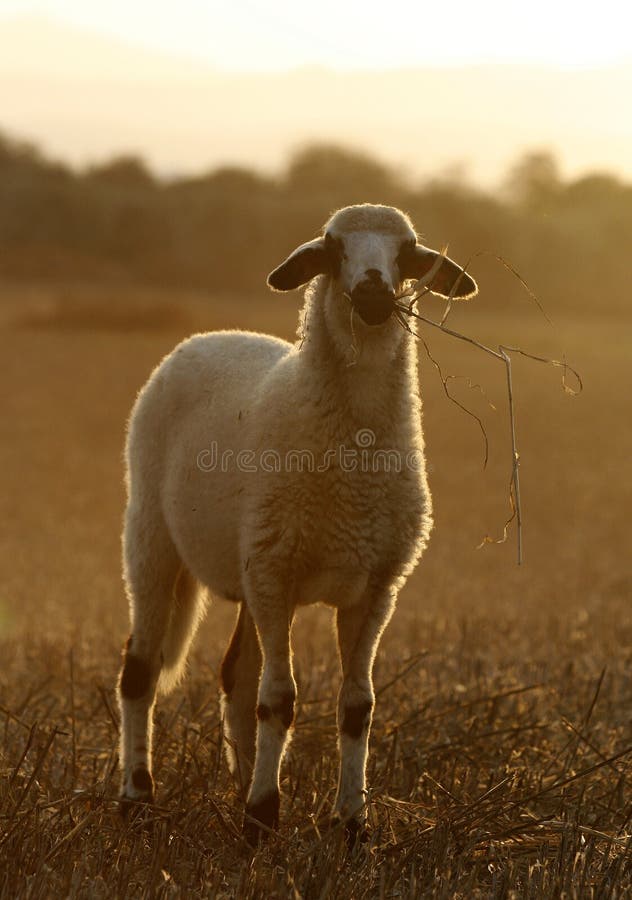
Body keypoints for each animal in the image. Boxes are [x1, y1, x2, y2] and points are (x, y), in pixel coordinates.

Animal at [117, 203, 477, 842]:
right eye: (333, 248)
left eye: (407, 252)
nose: (373, 292)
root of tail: (204, 337)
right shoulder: (276, 574)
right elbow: (281, 701)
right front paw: (265, 817)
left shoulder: (374, 587)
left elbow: (356, 706)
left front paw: (351, 823)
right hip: (154, 538)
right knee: (140, 671)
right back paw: (137, 796)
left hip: (250, 570)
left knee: (237, 681)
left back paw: (238, 787)